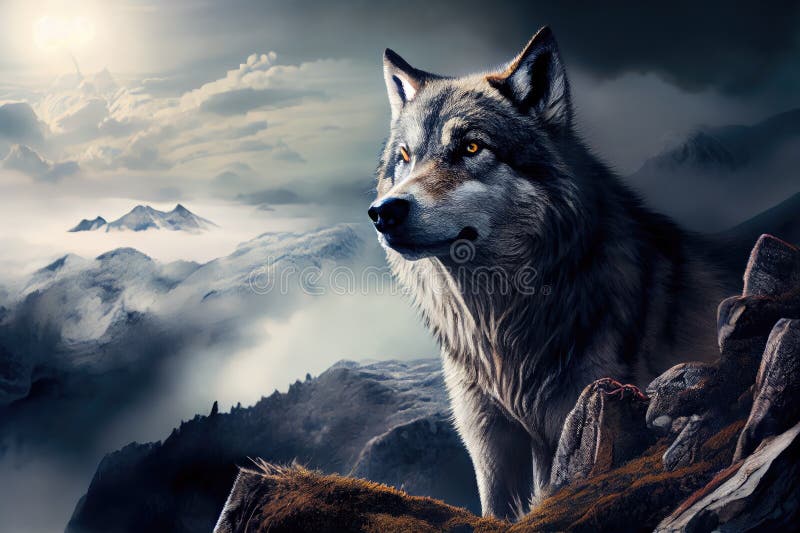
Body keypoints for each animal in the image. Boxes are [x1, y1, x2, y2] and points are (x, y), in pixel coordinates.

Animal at [369, 27, 740, 520]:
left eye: (470, 147)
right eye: (406, 157)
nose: (383, 212)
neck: (500, 325)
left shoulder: (572, 414)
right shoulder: (489, 436)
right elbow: (498, 509)